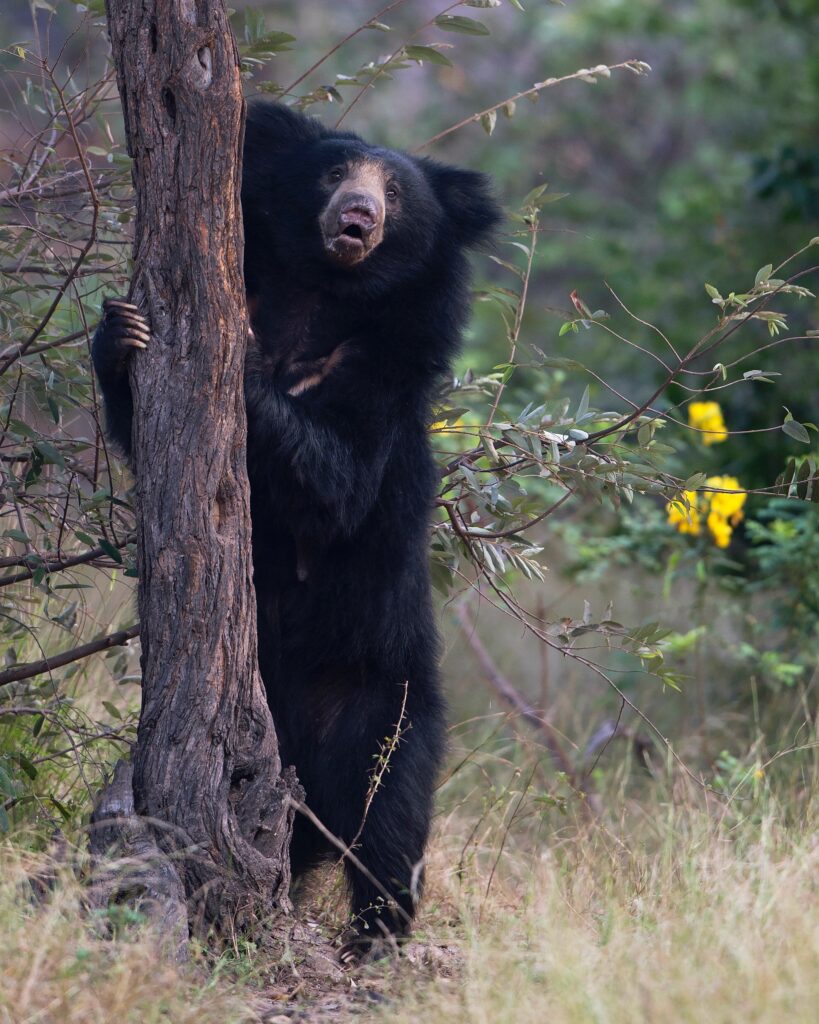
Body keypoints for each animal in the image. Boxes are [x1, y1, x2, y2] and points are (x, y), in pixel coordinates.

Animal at [92, 100, 502, 958]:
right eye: (333, 171)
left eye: (396, 193)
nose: (359, 216)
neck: (323, 294)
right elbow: (135, 425)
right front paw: (123, 328)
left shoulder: (385, 371)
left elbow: (334, 484)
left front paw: (241, 355)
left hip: (382, 704)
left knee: (388, 822)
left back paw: (373, 938)